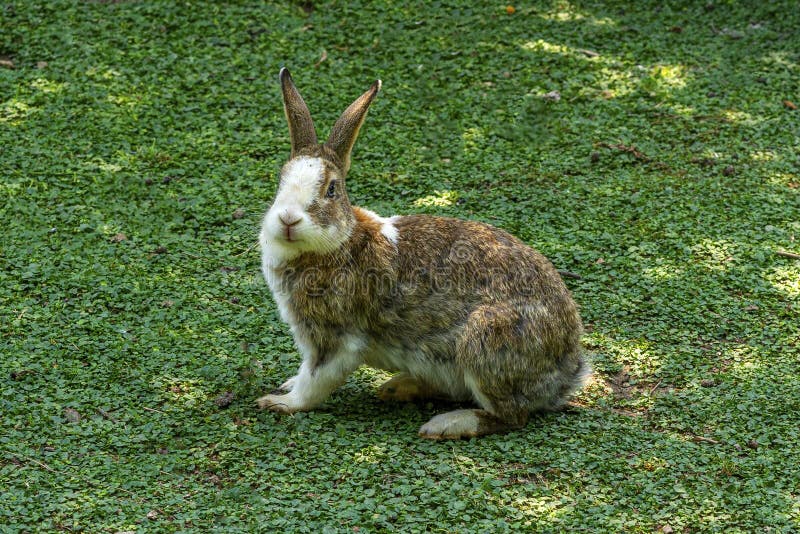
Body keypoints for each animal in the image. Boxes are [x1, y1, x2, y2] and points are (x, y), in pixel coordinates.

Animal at [256, 68, 590, 439]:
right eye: (280, 181)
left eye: (331, 189)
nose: (288, 219)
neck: (340, 242)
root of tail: (567, 368)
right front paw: (286, 386)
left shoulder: (336, 339)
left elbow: (315, 381)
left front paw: (280, 402)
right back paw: (398, 387)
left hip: (484, 343)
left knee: (510, 415)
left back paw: (444, 424)